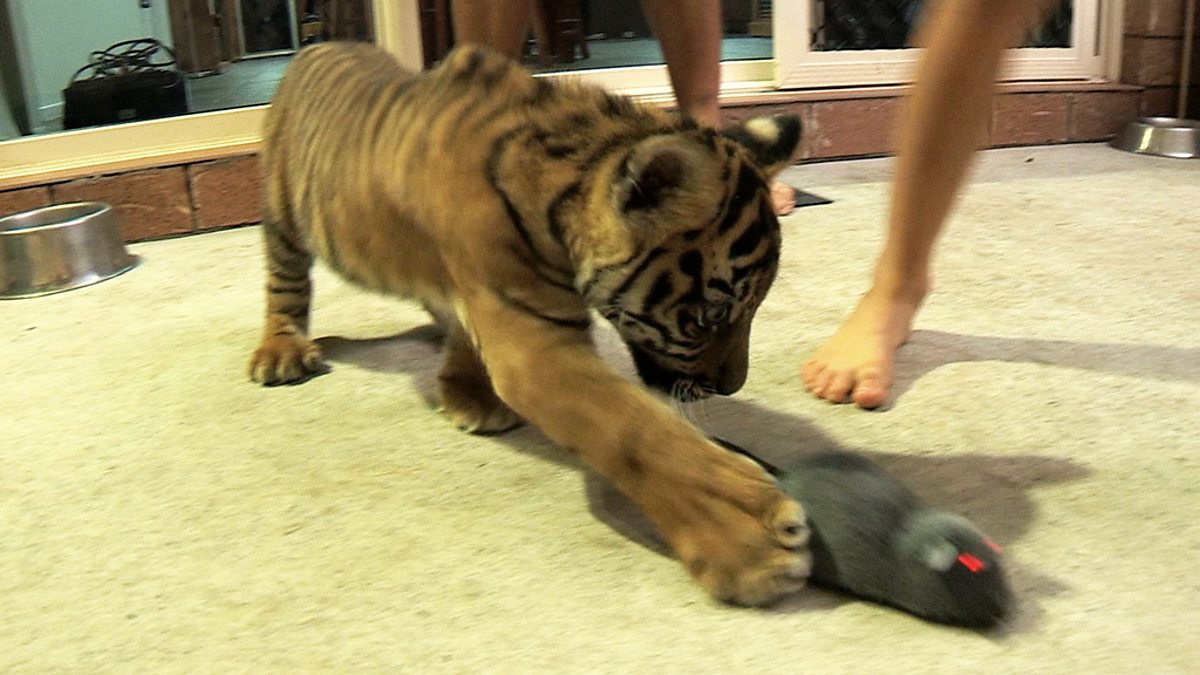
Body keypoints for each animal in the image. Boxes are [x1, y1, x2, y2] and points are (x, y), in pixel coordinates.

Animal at [249, 42, 810, 606]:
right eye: (711, 315)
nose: (731, 386)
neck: (572, 173)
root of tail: (315, 47)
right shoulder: (536, 346)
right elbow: (638, 430)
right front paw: (754, 540)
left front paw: (469, 395)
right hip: (283, 210)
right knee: (285, 283)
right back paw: (281, 353)